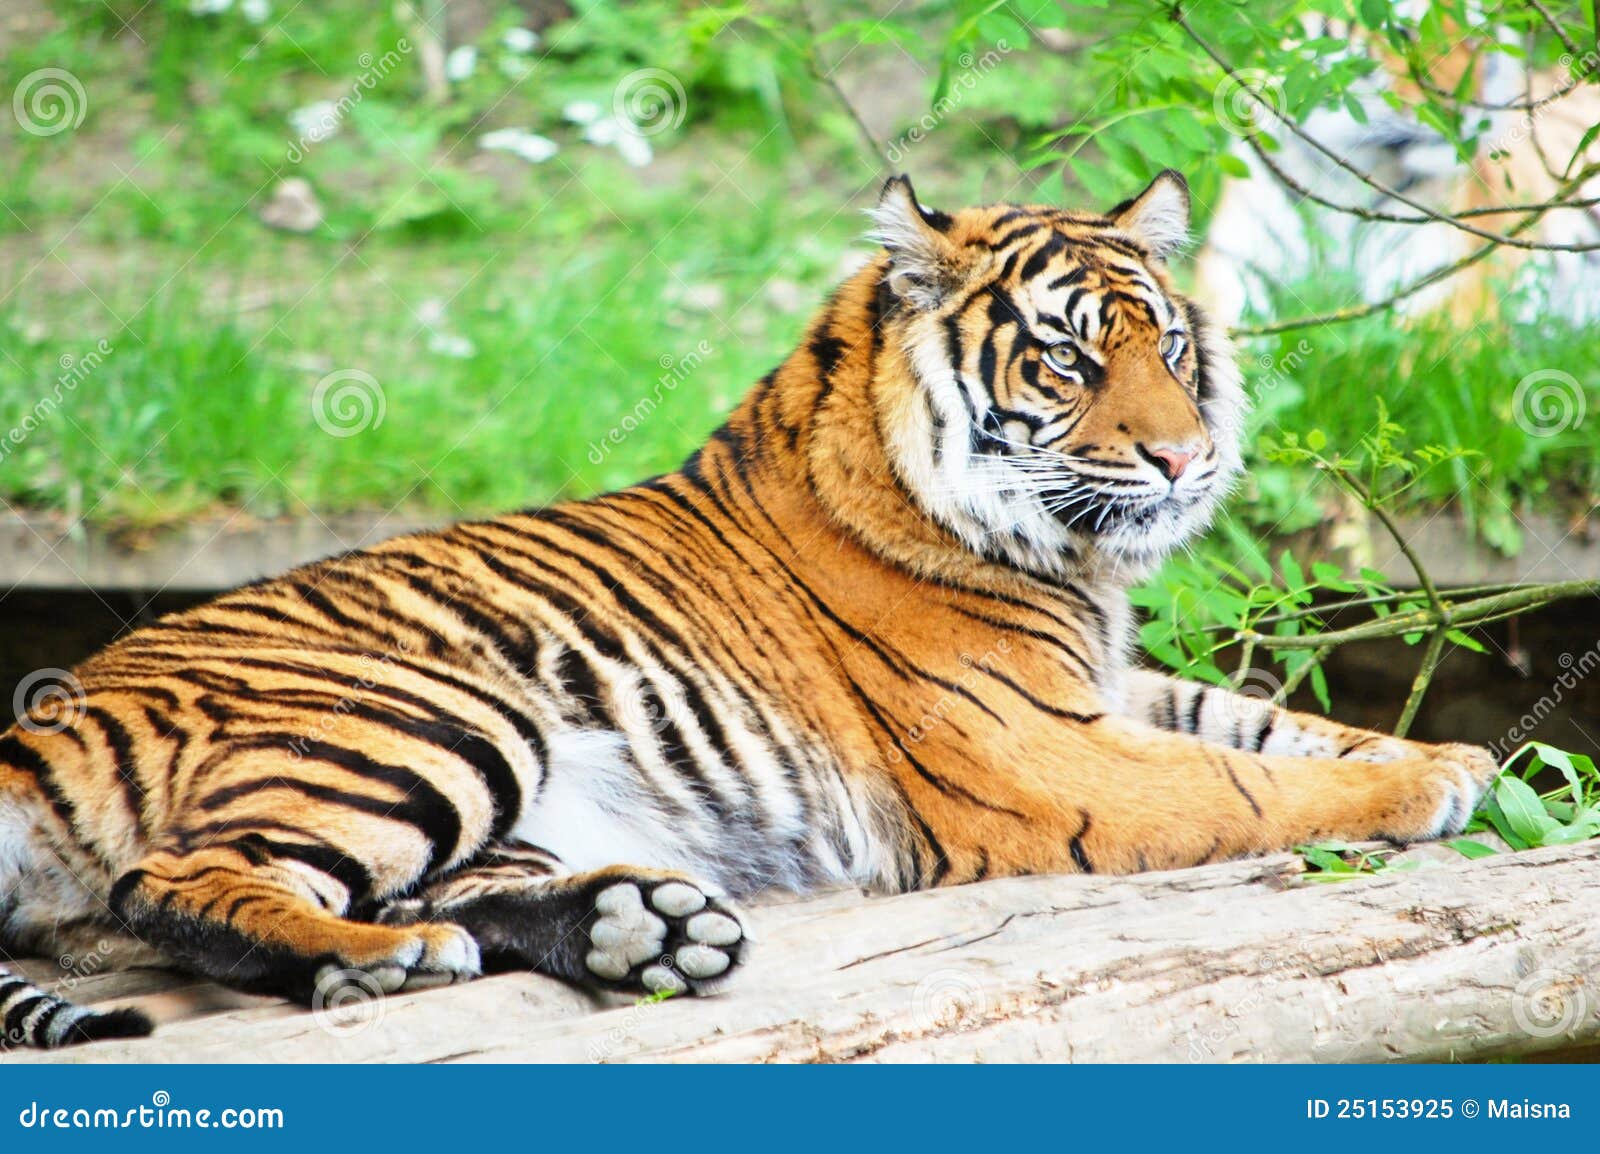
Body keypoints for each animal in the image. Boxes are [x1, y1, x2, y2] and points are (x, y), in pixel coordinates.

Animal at [0, 171, 1500, 1049]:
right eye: (1071, 360)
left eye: (1173, 347)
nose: (1189, 459)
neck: (1054, 555)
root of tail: (53, 708)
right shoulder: (1038, 752)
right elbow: (1244, 782)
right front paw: (1422, 786)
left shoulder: (1102, 686)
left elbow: (1263, 721)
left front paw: (1453, 751)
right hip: (430, 715)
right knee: (178, 881)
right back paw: (385, 961)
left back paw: (644, 928)